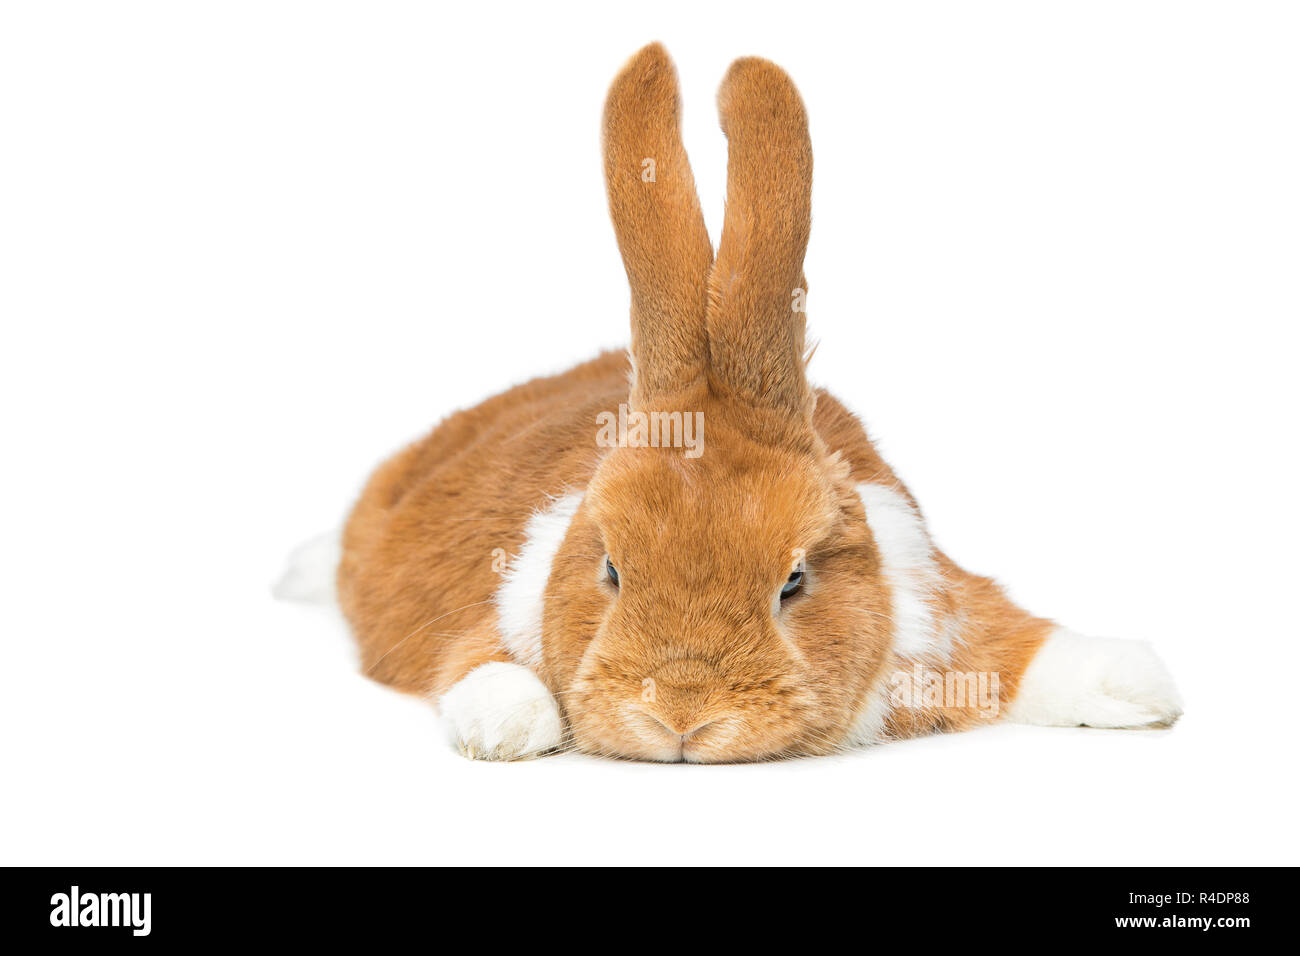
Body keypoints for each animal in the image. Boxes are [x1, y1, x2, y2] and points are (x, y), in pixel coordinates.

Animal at [280, 43, 1182, 762]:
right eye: (611, 569)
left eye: (794, 582)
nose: (682, 721)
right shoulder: (488, 615)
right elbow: (480, 667)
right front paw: (504, 728)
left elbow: (1027, 646)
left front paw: (1143, 688)